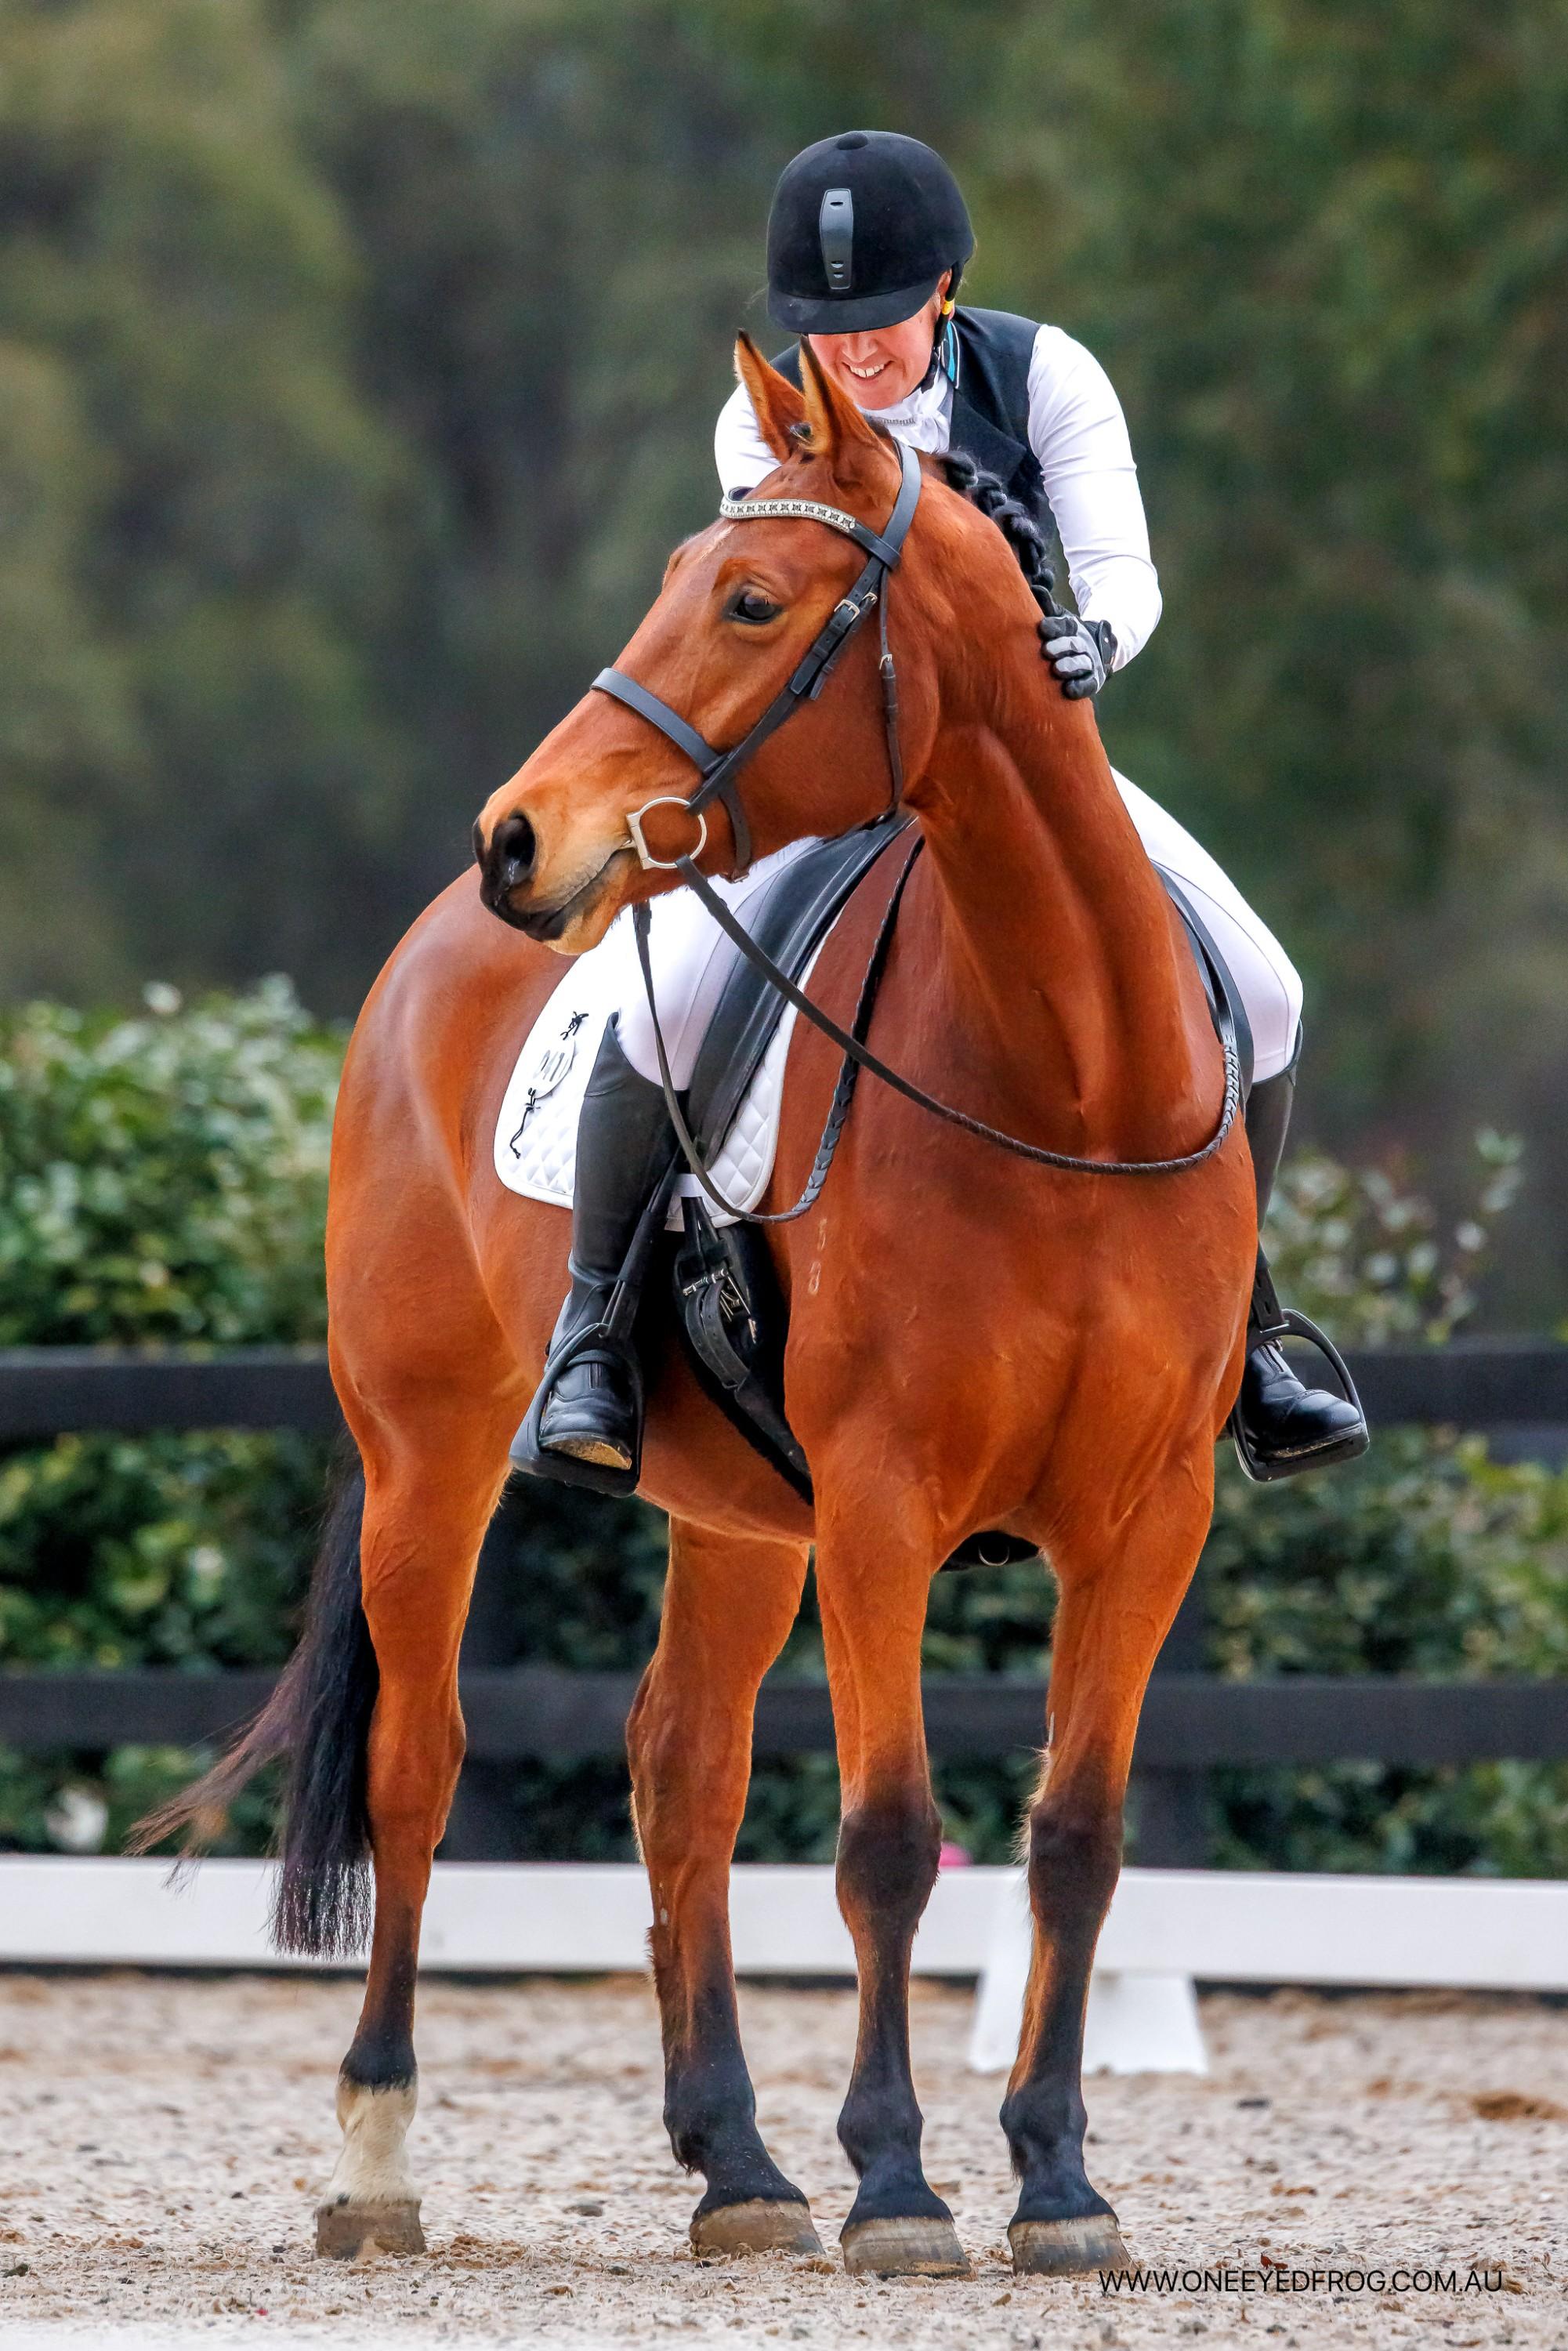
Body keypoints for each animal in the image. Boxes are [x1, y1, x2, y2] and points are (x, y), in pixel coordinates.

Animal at [141, 335, 1255, 2280]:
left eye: (748, 599)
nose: (521, 836)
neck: (1066, 1075)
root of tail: (431, 943)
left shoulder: (1147, 1519)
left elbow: (1074, 1837)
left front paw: (1057, 2185)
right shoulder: (882, 1501)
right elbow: (888, 1836)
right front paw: (899, 2188)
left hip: (738, 1516)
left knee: (684, 1772)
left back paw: (735, 2165)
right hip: (432, 1457)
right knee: (423, 1766)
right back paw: (378, 2156)